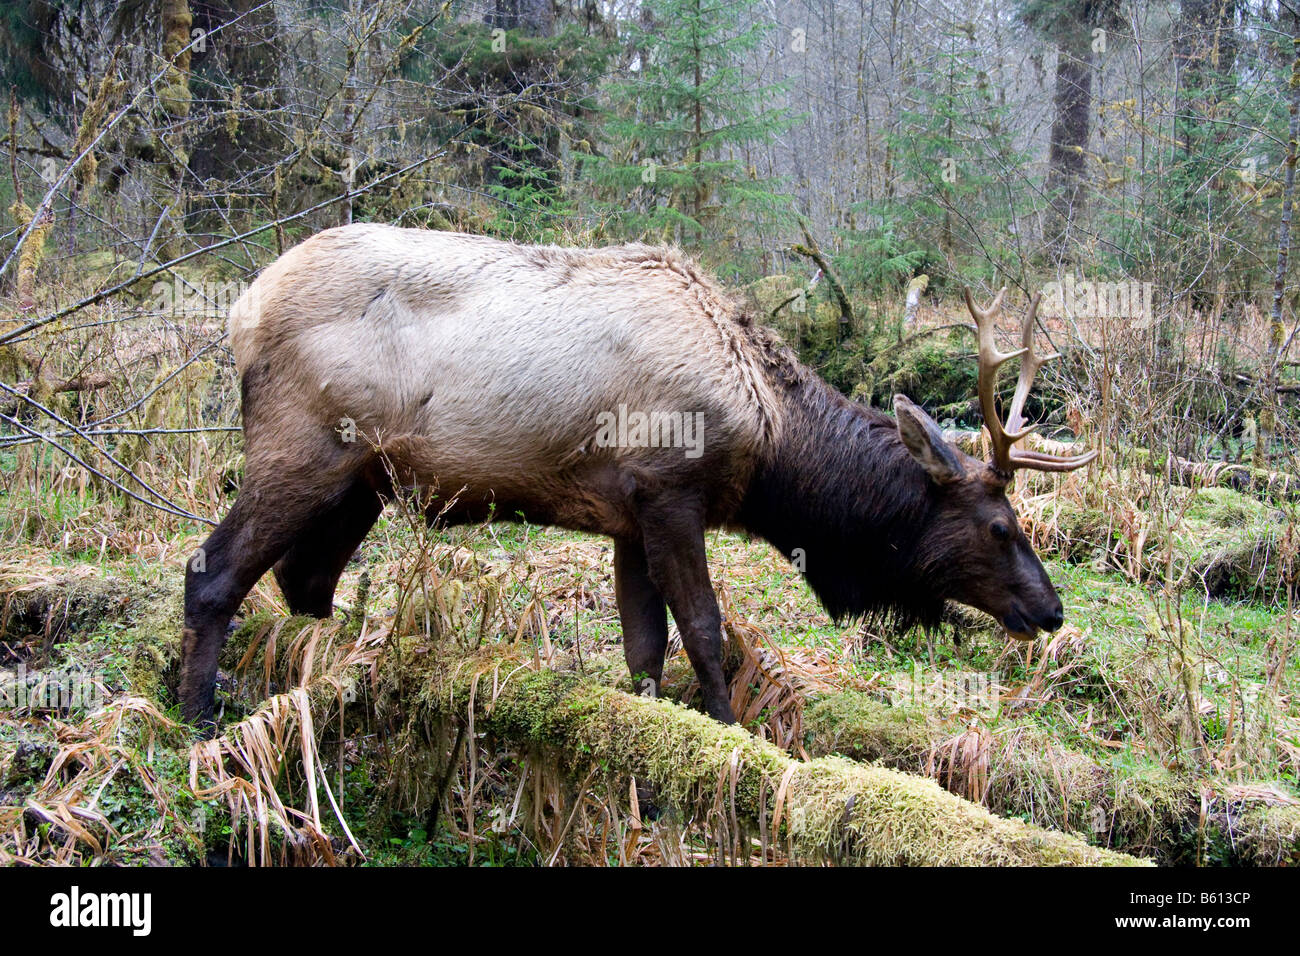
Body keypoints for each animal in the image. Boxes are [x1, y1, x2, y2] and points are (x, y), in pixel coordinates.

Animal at [180, 223, 1095, 728]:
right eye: (1000, 526)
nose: (1051, 611)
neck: (771, 444)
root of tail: (242, 308)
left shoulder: (627, 515)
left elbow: (643, 646)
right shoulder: (670, 491)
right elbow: (705, 630)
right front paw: (730, 729)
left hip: (363, 482)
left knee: (305, 583)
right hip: (303, 445)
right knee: (213, 571)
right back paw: (197, 716)